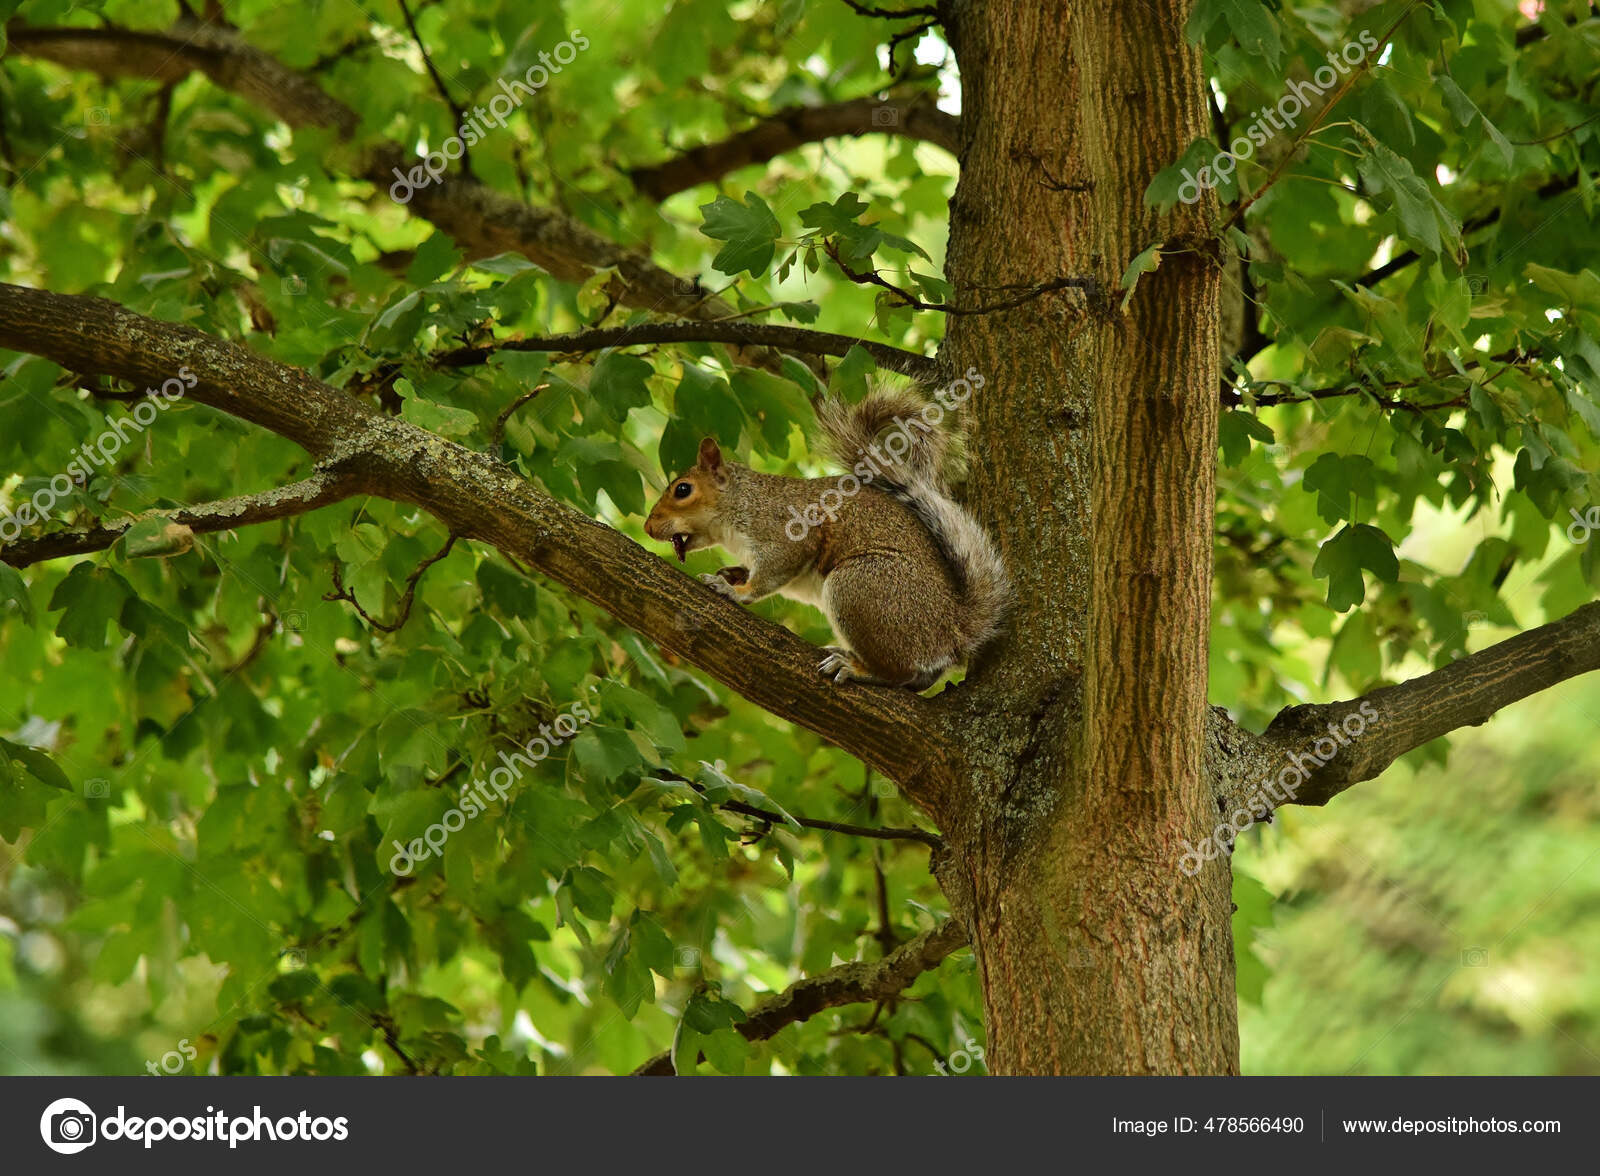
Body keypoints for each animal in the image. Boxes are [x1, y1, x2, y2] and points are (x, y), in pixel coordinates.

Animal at [644, 385, 1010, 689]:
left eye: (683, 490)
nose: (648, 528)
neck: (741, 504)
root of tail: (953, 630)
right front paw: (733, 573)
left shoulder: (786, 532)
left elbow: (770, 575)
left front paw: (736, 590)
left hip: (861, 588)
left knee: (901, 672)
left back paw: (858, 669)